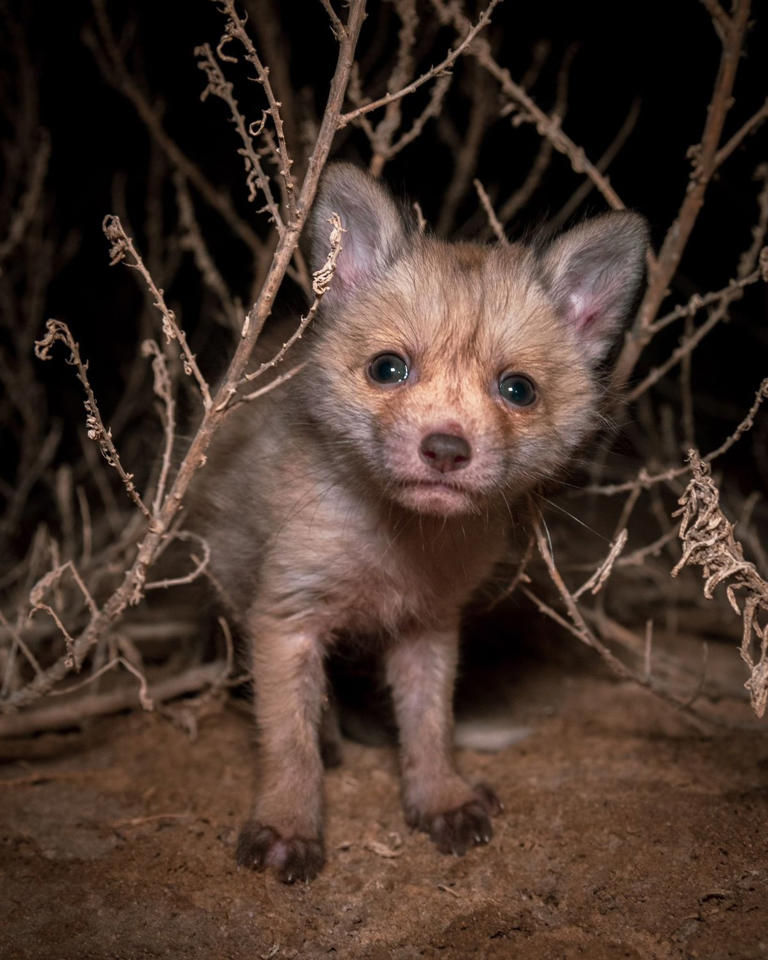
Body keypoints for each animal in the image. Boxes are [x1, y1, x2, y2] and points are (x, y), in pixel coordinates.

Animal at [190, 163, 648, 883]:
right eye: (389, 369)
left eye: (517, 390)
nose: (446, 450)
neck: (396, 552)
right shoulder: (286, 613)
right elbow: (288, 742)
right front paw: (288, 824)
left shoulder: (429, 625)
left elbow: (430, 726)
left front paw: (440, 799)